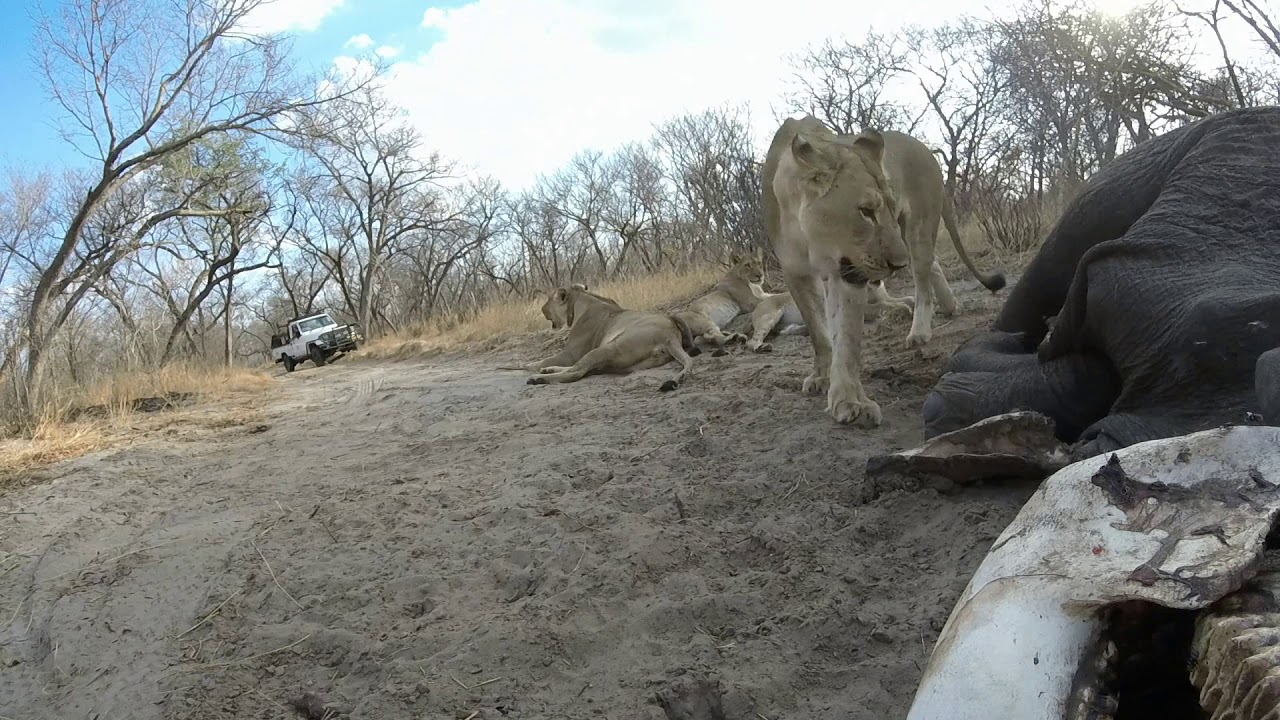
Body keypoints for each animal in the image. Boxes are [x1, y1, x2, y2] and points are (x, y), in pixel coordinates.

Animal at [523, 284, 700, 391]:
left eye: (548, 300)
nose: (542, 309)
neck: (582, 299)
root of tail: (671, 336)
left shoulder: (571, 353)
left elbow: (546, 361)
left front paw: (528, 366)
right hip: (618, 364)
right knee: (584, 369)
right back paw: (547, 372)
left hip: (610, 348)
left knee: (577, 371)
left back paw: (538, 378)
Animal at [762, 115, 1004, 427]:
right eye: (866, 211)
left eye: (890, 205)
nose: (897, 264)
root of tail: (924, 148)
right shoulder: (796, 273)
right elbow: (820, 334)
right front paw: (821, 377)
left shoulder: (848, 274)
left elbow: (847, 341)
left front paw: (850, 400)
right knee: (933, 264)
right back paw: (950, 305)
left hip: (916, 231)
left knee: (923, 281)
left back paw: (919, 331)